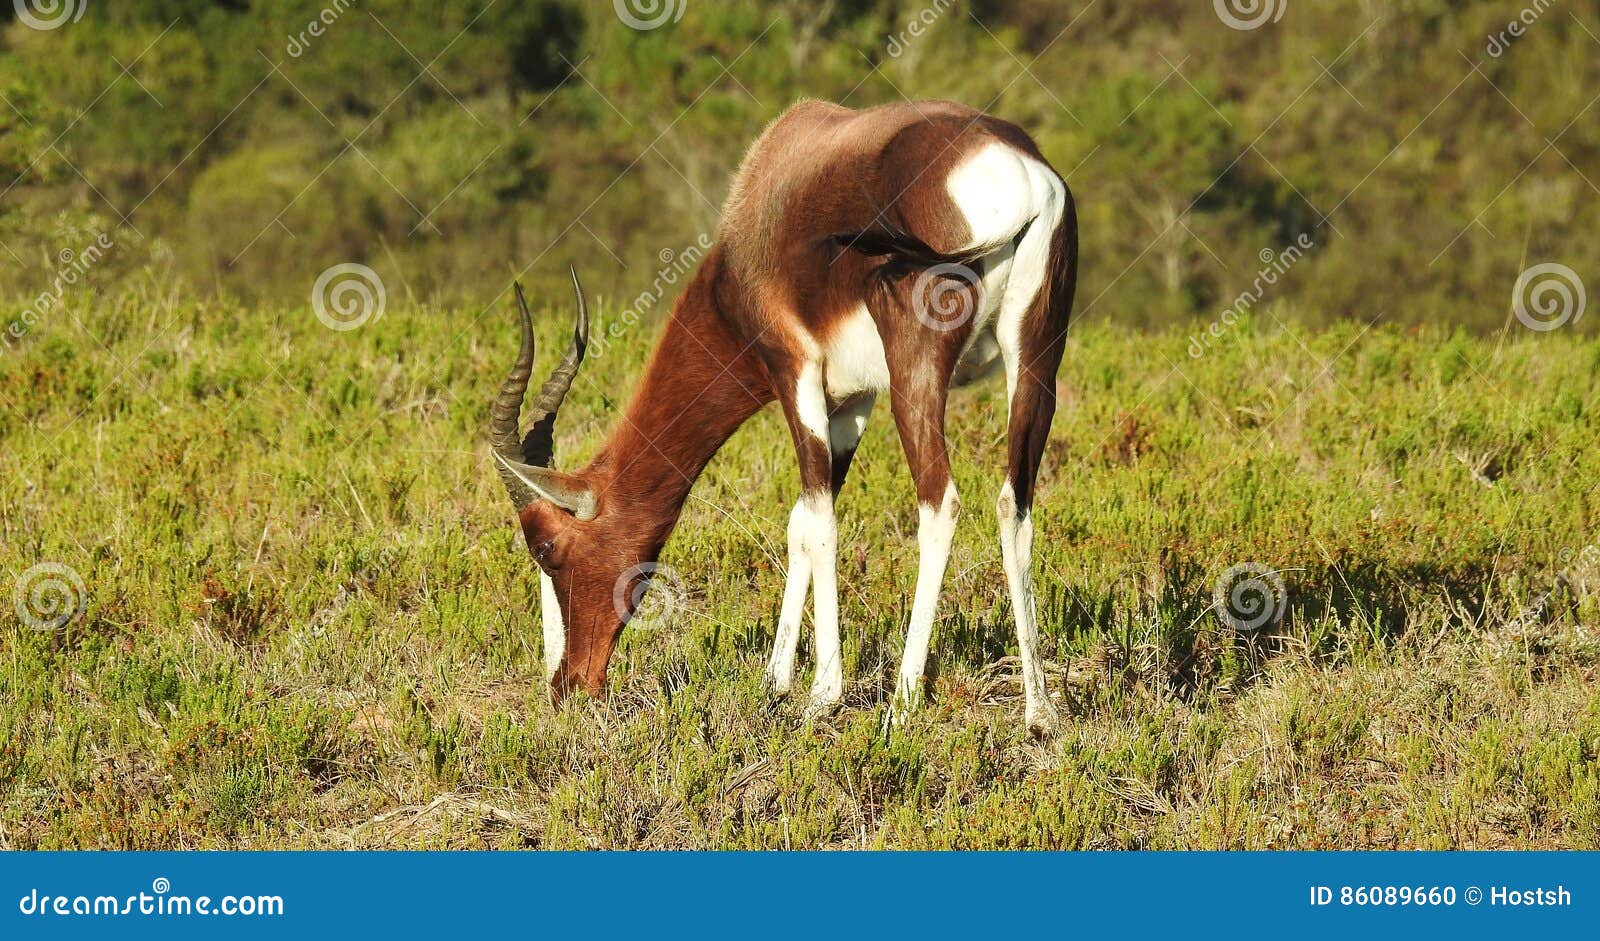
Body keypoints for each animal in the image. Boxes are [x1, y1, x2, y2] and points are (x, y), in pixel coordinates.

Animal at [490, 99, 1077, 733]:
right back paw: (1040, 710)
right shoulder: (853, 401)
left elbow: (819, 523)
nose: (567, 685)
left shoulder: (795, 372)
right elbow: (800, 522)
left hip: (916, 369)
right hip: (1035, 361)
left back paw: (901, 704)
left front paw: (824, 692)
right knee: (1014, 503)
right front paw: (775, 680)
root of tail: (1024, 175)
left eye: (546, 549)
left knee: (939, 503)